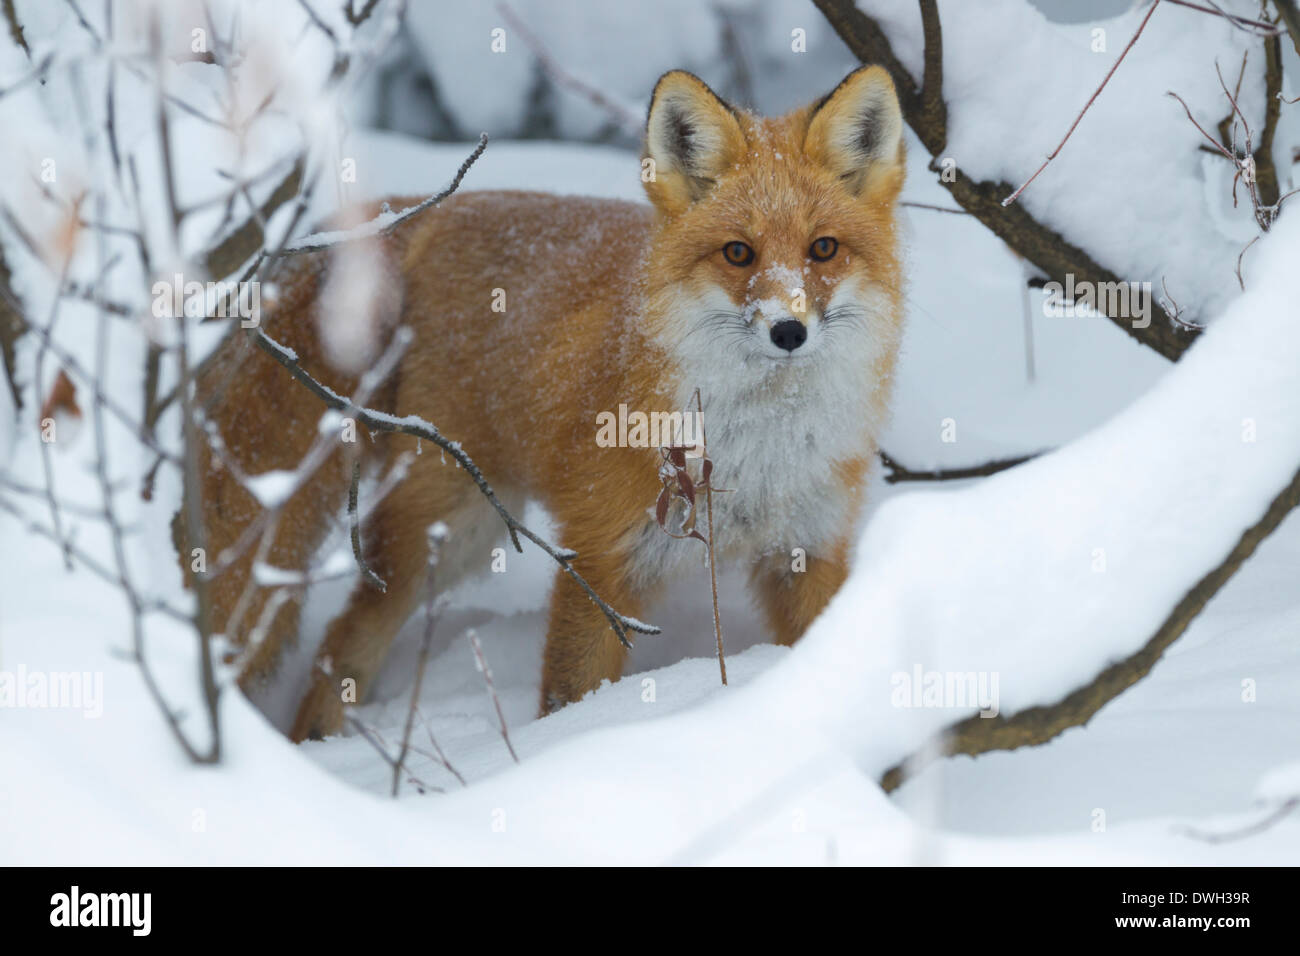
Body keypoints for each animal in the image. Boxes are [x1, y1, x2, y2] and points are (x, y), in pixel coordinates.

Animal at [185, 66, 907, 741]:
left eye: (823, 249)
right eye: (738, 253)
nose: (789, 332)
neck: (756, 453)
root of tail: (424, 210)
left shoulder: (806, 551)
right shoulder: (601, 560)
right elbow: (570, 693)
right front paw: (554, 750)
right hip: (446, 530)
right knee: (346, 638)